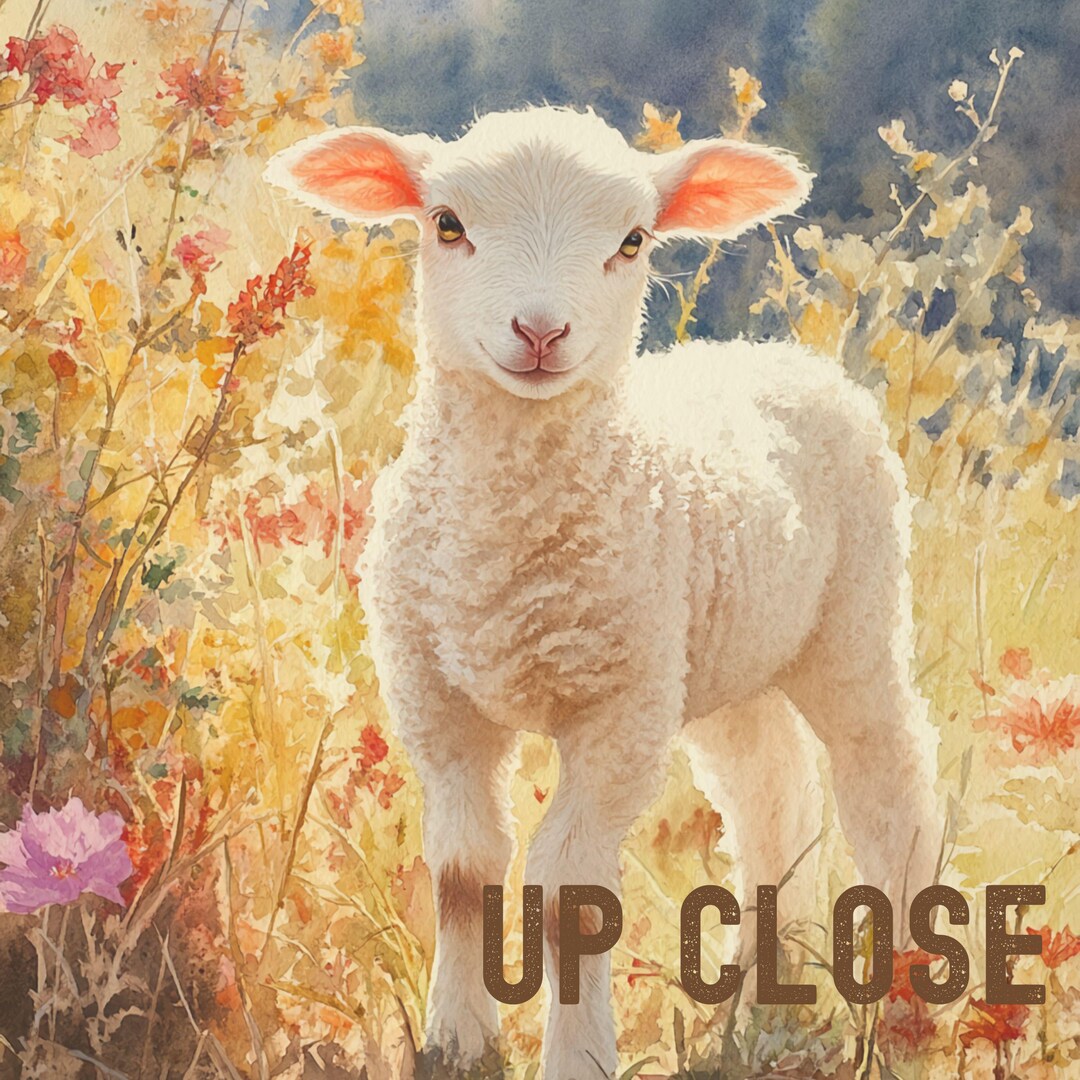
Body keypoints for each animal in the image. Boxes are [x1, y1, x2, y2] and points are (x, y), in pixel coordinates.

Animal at [266, 106, 941, 1080]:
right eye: (446, 224)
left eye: (632, 241)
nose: (540, 331)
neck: (503, 555)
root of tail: (783, 357)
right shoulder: (437, 702)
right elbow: (464, 868)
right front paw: (457, 1043)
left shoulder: (616, 712)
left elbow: (570, 889)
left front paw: (577, 1055)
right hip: (718, 662)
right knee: (773, 796)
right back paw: (762, 1006)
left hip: (852, 618)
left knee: (887, 782)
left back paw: (905, 1000)